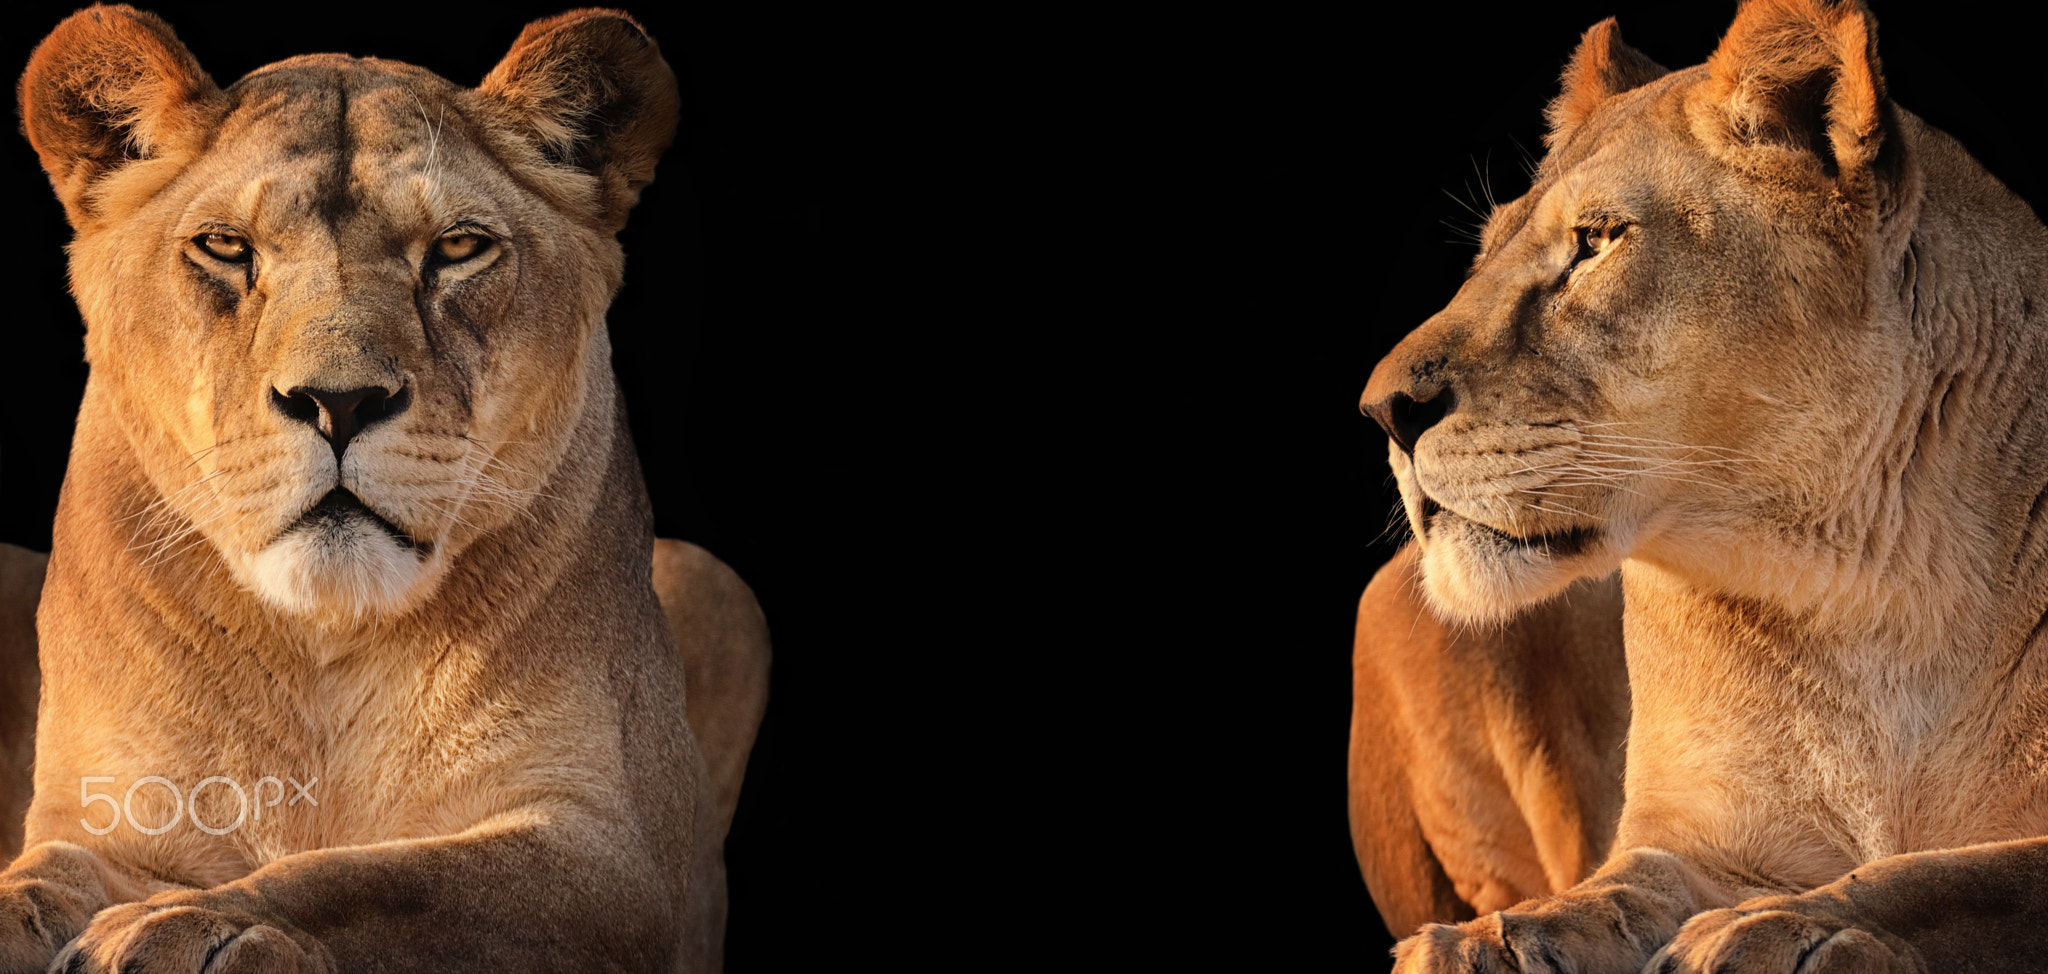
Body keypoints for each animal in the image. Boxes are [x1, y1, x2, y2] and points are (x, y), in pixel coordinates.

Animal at [5, 5, 766, 971]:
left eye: (459, 248)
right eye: (225, 247)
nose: (339, 403)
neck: (323, 647)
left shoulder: (622, 862)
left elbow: (389, 881)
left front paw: (208, 923)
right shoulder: (103, 820)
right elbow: (44, 876)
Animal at [1363, 0, 2048, 969]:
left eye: (1597, 241)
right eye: (1486, 254)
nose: (1382, 410)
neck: (1868, 592)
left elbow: (1961, 878)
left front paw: (1792, 926)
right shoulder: (1701, 841)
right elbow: (1616, 886)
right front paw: (1487, 939)